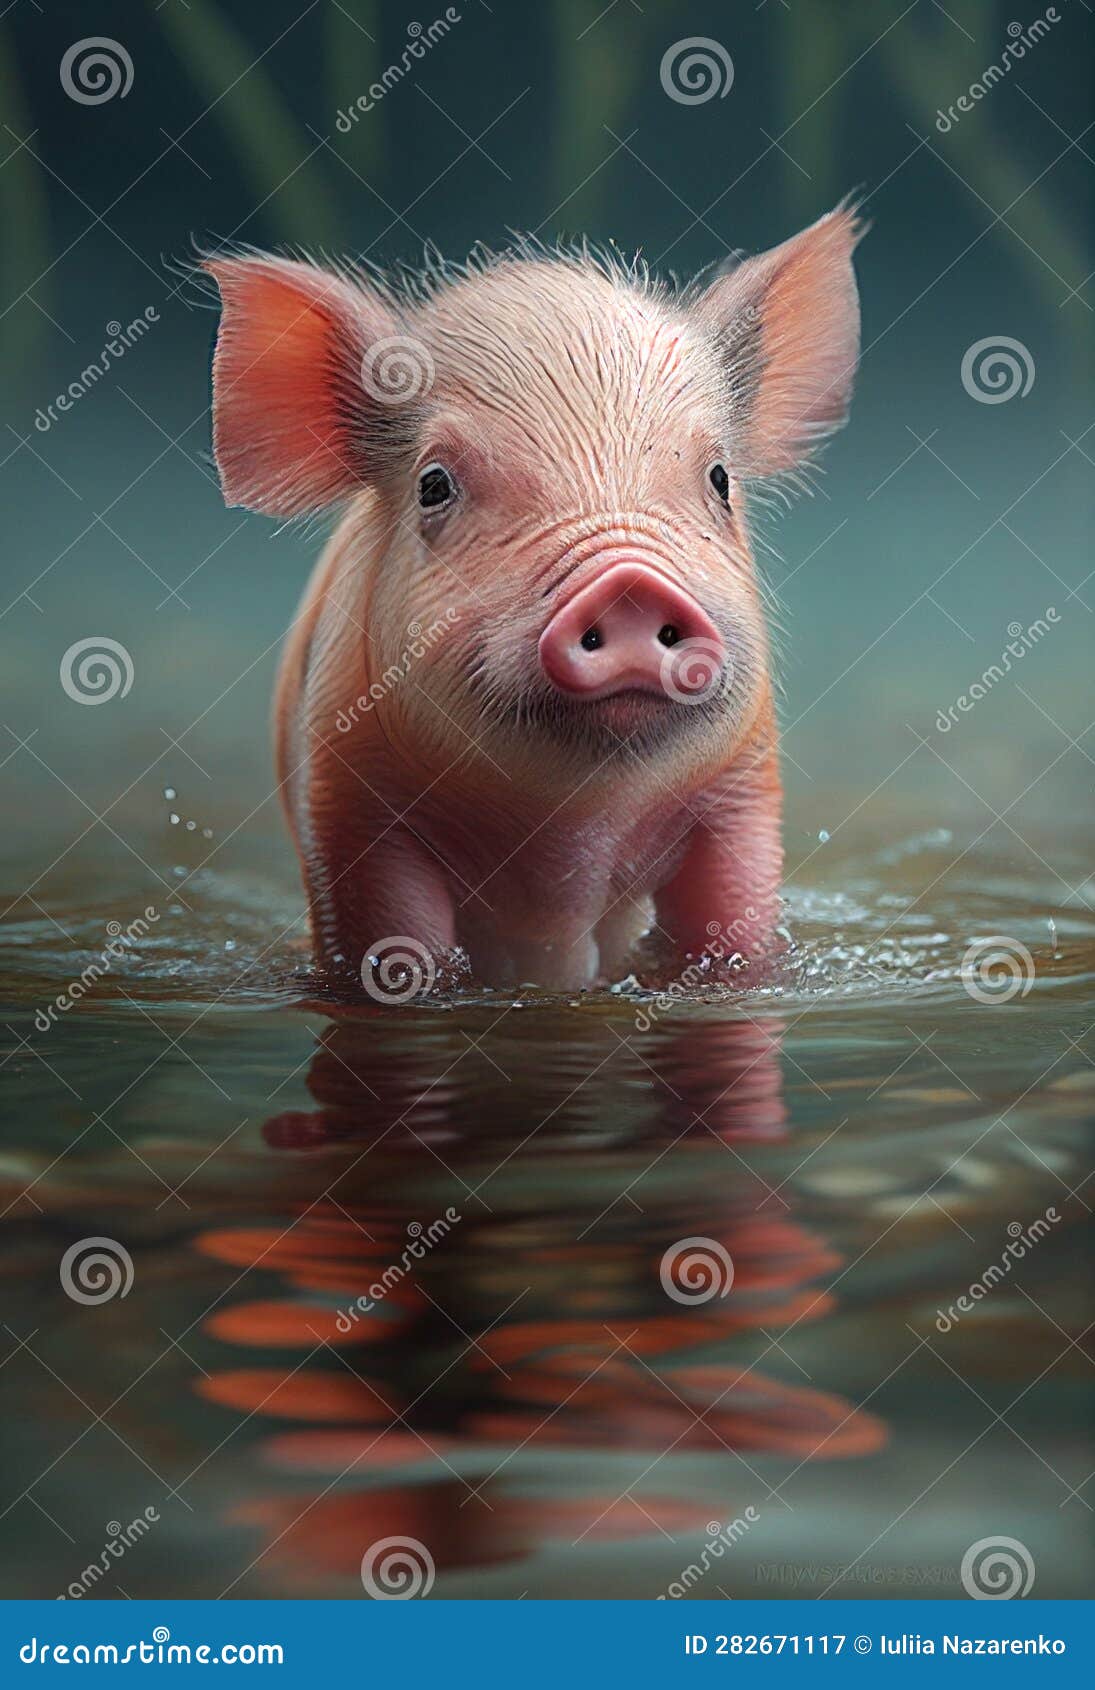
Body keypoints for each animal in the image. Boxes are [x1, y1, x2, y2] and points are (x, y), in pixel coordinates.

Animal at [204, 204, 863, 992]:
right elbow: (395, 945)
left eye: (719, 478)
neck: (571, 836)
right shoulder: (348, 797)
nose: (629, 583)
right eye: (433, 484)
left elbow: (731, 922)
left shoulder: (741, 786)